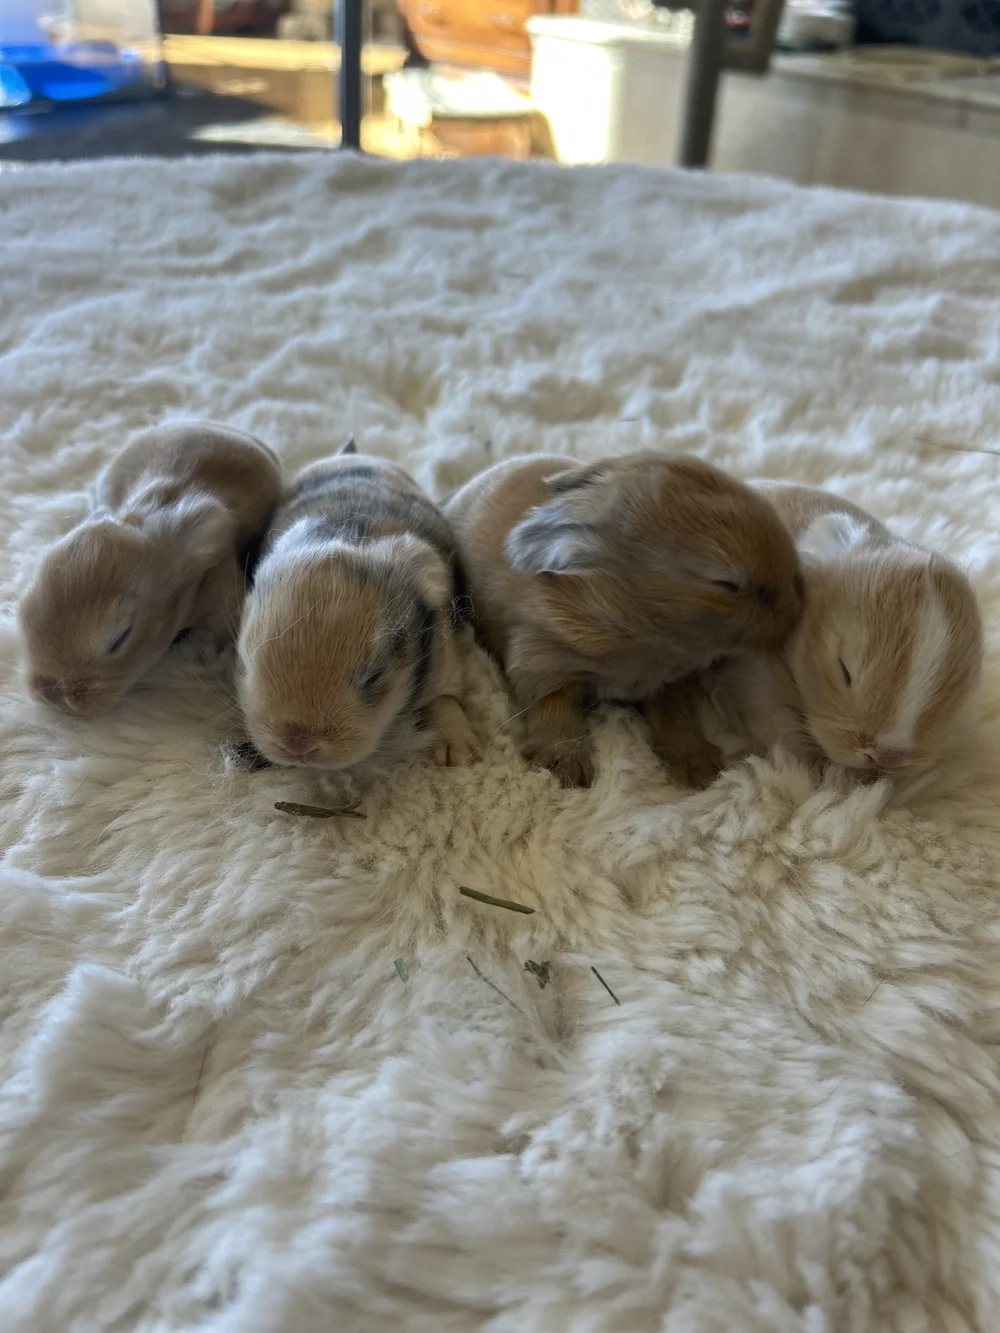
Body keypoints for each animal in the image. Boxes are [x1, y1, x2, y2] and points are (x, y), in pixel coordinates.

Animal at [236, 441, 480, 772]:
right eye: (246, 665)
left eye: (375, 675)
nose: (298, 745)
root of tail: (350, 454)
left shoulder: (445, 655)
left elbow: (444, 699)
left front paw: (460, 754)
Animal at [444, 452, 805, 789]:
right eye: (725, 583)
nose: (794, 611)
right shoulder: (540, 657)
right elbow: (553, 707)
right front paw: (564, 770)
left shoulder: (671, 682)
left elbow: (676, 712)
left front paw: (698, 767)